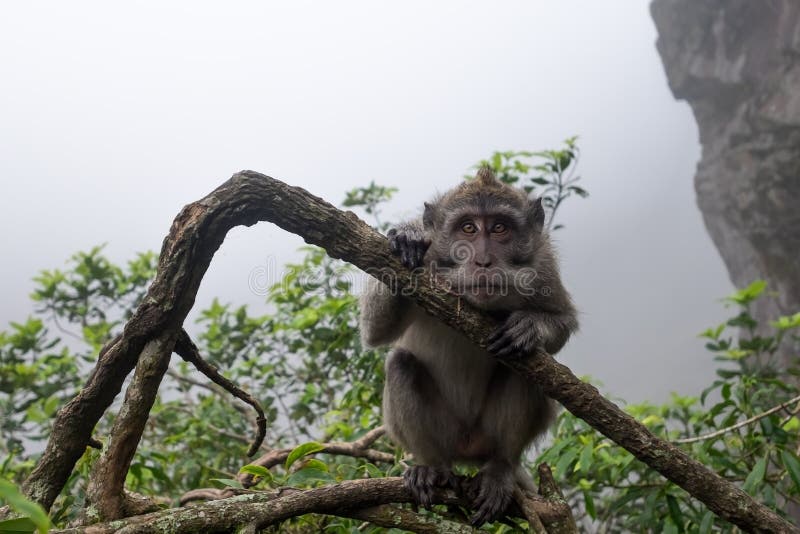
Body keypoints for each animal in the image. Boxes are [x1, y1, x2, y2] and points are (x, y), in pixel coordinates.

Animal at [359, 167, 578, 525]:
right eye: (468, 228)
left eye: (499, 228)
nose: (484, 261)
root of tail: (468, 450)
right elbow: (375, 332)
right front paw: (410, 237)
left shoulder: (542, 263)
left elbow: (563, 321)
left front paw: (531, 327)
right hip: (445, 433)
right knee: (400, 363)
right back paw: (431, 467)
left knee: (525, 369)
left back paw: (500, 468)